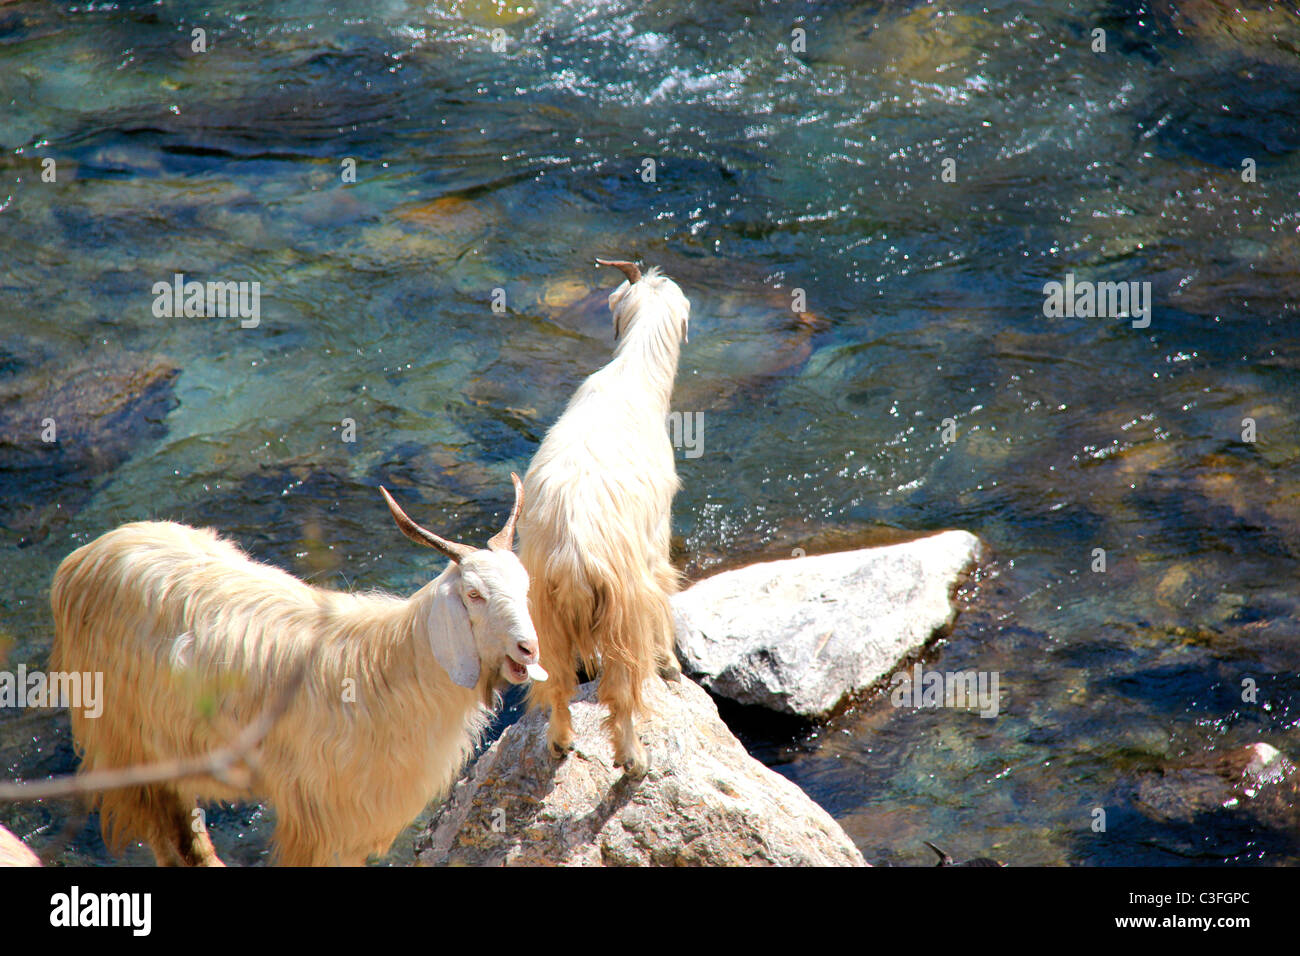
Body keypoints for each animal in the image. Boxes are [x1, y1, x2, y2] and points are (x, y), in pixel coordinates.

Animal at [49, 475, 545, 866]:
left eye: (526, 586)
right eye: (474, 594)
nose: (528, 648)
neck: (385, 667)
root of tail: (85, 556)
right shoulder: (318, 817)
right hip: (131, 740)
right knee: (174, 838)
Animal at [520, 259, 691, 776]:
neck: (632, 377)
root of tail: (573, 558)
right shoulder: (655, 543)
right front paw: (672, 665)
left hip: (542, 611)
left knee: (556, 681)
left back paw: (559, 743)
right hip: (622, 607)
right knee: (621, 691)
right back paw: (634, 759)